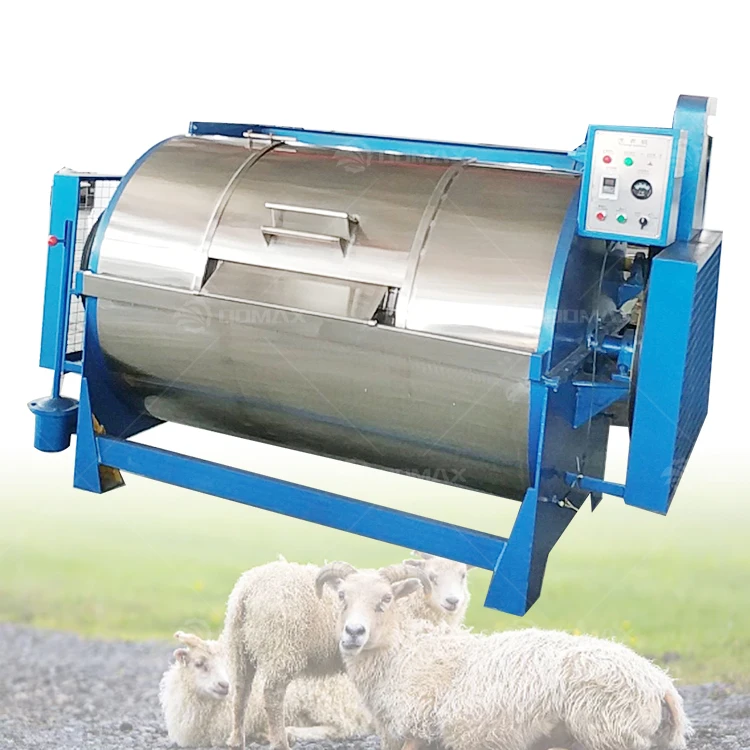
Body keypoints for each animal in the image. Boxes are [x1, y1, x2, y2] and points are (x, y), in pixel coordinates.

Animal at [159, 631, 373, 747]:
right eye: (199, 663)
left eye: (228, 664)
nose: (224, 685)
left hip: (325, 702)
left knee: (341, 728)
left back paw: (290, 732)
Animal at [224, 554, 470, 750]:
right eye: (432, 577)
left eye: (463, 575)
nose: (452, 601)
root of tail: (248, 589)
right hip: (281, 647)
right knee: (272, 697)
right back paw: (280, 743)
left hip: (240, 645)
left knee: (241, 692)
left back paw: (236, 740)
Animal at [318, 564, 692, 750]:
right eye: (341, 595)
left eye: (385, 600)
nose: (354, 633)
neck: (404, 650)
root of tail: (660, 682)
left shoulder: (416, 730)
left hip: (610, 734)